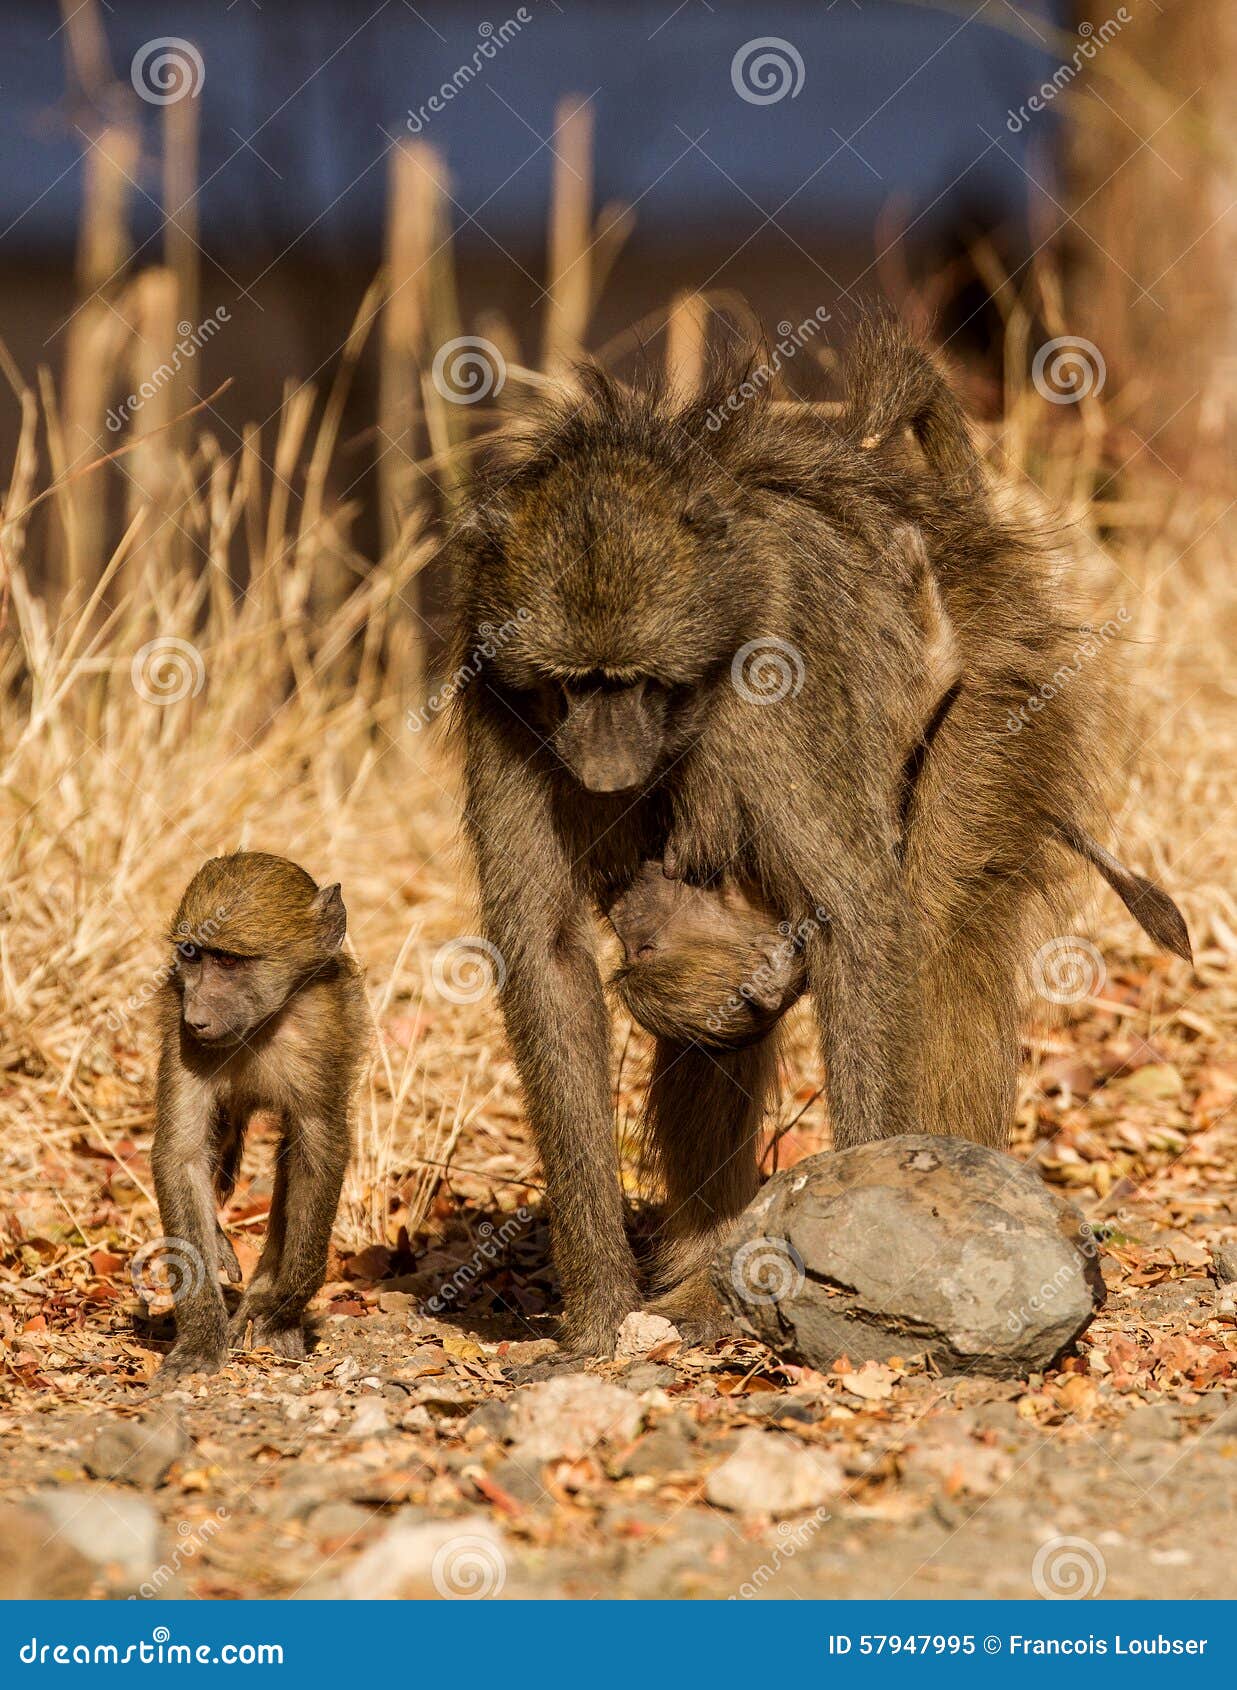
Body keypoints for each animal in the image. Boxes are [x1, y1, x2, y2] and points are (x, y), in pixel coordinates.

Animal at [149, 852, 366, 1379]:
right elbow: (181, 1157)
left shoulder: (323, 1028)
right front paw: (200, 1337)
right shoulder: (183, 1039)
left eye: (229, 960)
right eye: (192, 953)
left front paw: (284, 1304)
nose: (197, 1018)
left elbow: (317, 1151)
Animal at [450, 317, 1189, 1353]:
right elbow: (548, 955)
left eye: (633, 682)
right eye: (569, 683)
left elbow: (858, 913)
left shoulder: (774, 665)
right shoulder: (497, 689)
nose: (602, 766)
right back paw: (700, 1276)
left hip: (1003, 689)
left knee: (942, 929)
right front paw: (597, 1314)